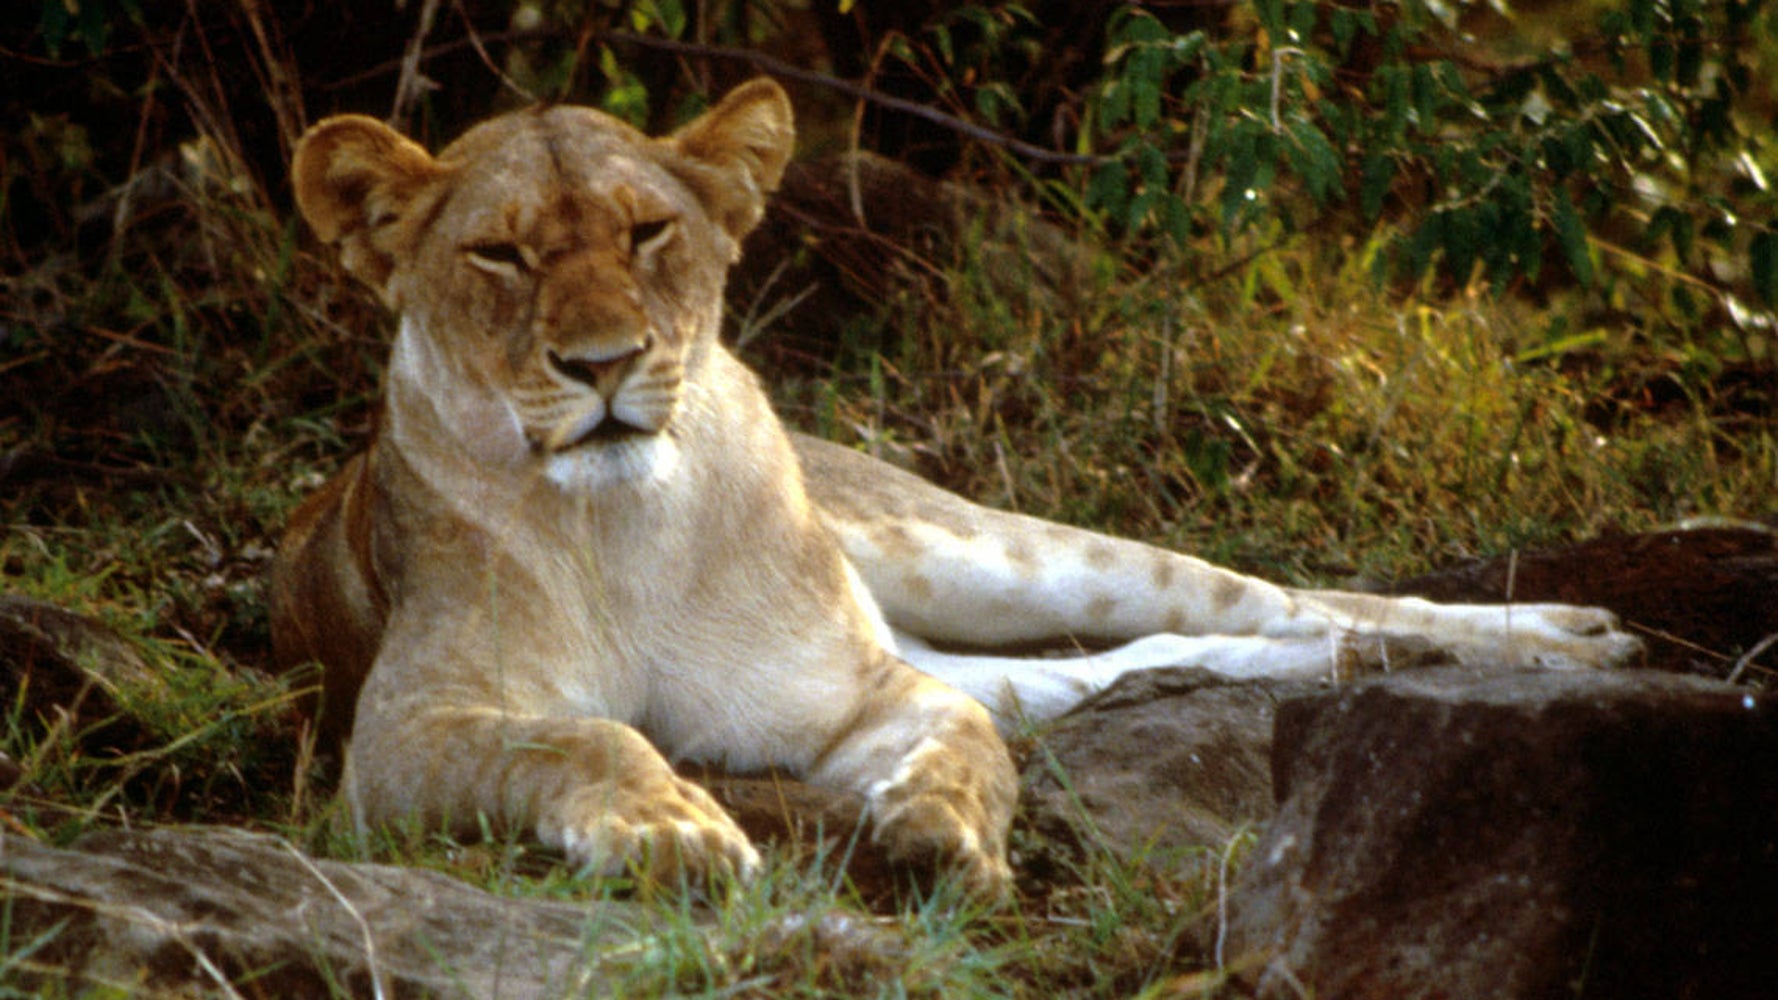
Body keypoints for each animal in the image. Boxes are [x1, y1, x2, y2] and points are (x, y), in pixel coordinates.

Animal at [271, 77, 1640, 892]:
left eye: (648, 233)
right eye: (497, 255)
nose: (603, 364)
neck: (624, 527)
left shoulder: (856, 691)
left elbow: (966, 742)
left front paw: (948, 829)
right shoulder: (392, 739)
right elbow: (587, 733)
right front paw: (670, 828)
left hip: (985, 551)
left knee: (1265, 597)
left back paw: (1557, 640)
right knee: (1146, 658)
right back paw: (1372, 670)